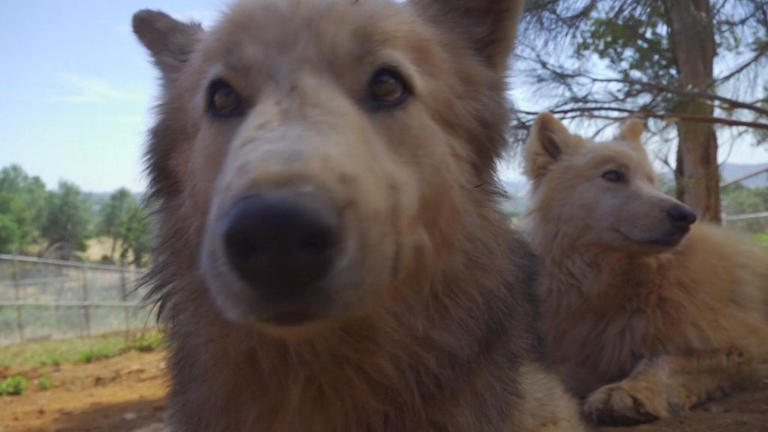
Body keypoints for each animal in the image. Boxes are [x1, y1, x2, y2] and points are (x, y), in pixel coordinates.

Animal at [524, 112, 768, 425]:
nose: (687, 216)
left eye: (651, 181)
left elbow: (667, 359)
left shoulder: (746, 345)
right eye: (613, 175)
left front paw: (629, 391)